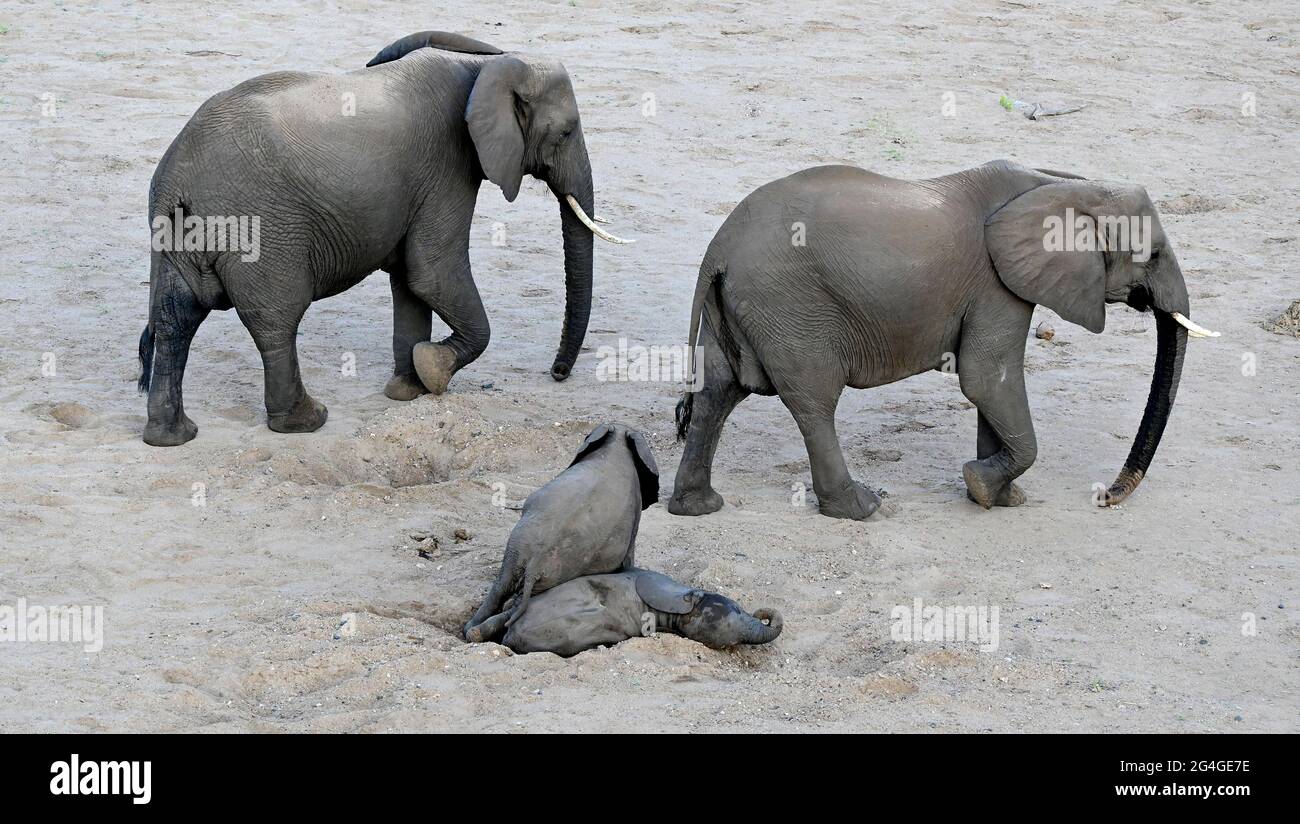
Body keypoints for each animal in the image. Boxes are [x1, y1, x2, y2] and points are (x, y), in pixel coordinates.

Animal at [137, 30, 631, 446]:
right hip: (260, 225)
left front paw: (407, 390)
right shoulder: (447, 166)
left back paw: (172, 436)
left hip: (175, 235)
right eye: (565, 132)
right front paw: (433, 371)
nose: (558, 373)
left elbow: (410, 281)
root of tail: (177, 179)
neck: (481, 69)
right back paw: (306, 421)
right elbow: (432, 271)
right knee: (275, 319)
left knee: (175, 318)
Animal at [463, 424, 659, 642]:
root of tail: (537, 561)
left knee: (503, 585)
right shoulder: (635, 513)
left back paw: (472, 630)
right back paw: (477, 631)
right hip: (560, 567)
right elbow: (628, 558)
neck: (617, 440)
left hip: (519, 546)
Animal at [668, 160, 1220, 520]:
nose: (1106, 497)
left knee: (716, 394)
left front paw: (999, 498)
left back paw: (698, 507)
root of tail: (717, 249)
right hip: (789, 307)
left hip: (739, 306)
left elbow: (991, 386)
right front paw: (982, 488)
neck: (1061, 186)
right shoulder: (997, 284)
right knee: (813, 401)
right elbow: (986, 377)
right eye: (1152, 253)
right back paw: (861, 508)